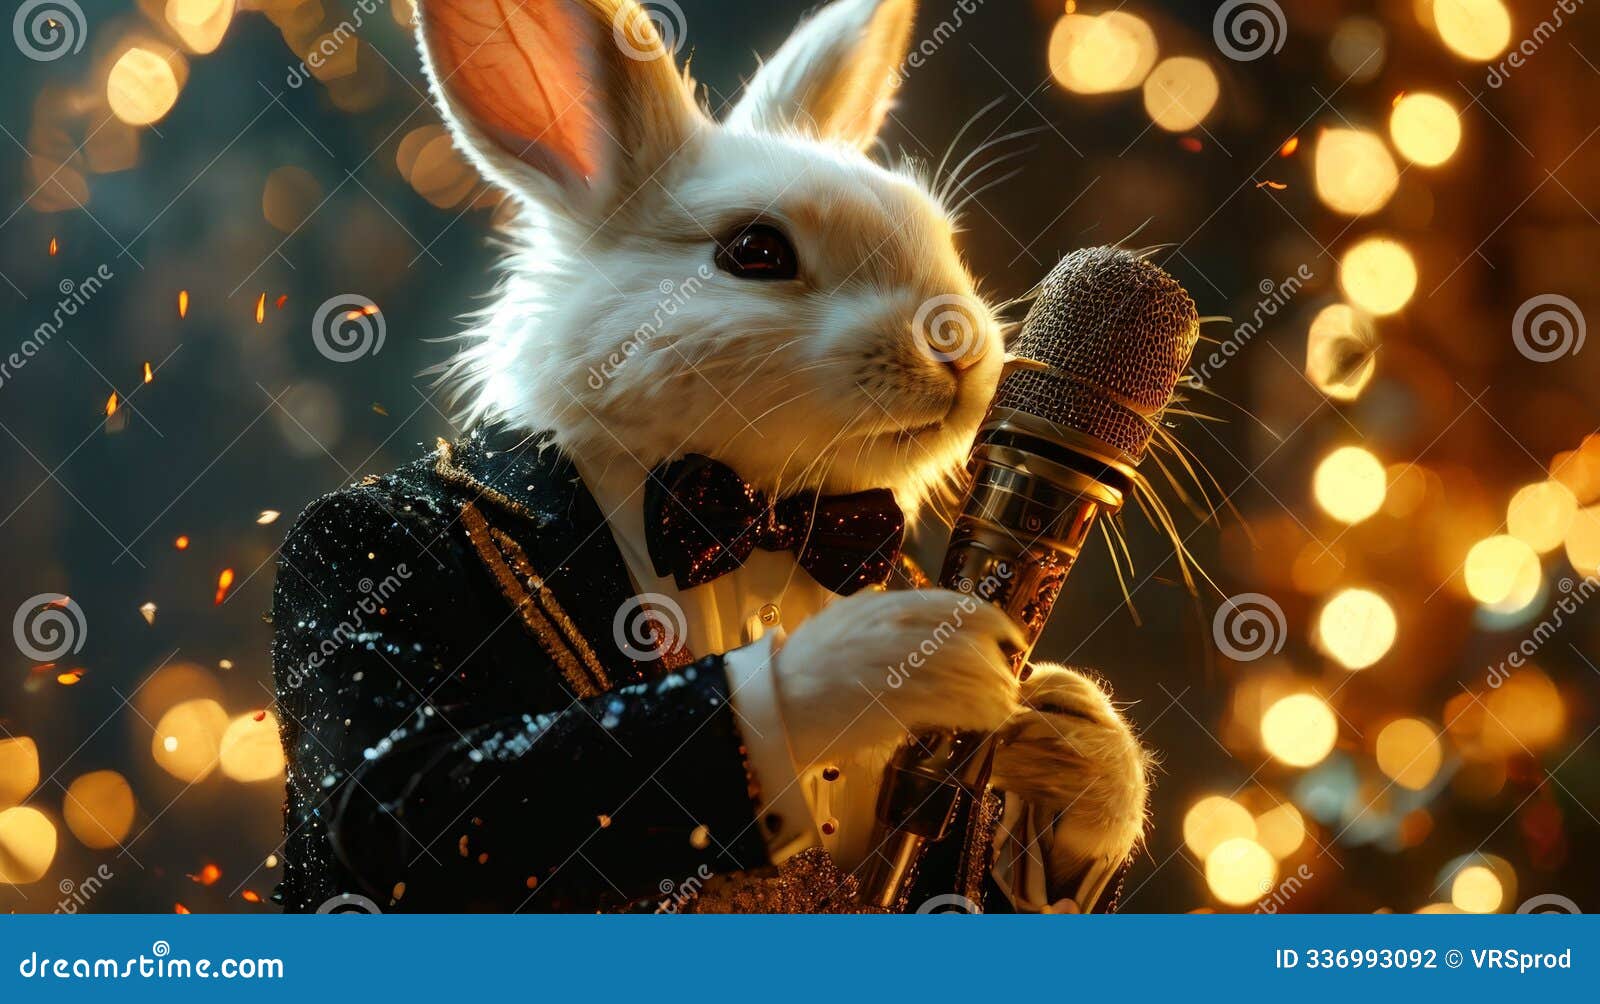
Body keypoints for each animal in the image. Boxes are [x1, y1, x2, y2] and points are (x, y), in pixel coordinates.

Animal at [411, 0, 1150, 900]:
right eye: (755, 252)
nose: (962, 345)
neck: (761, 513)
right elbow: (443, 786)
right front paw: (908, 657)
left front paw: (1076, 740)